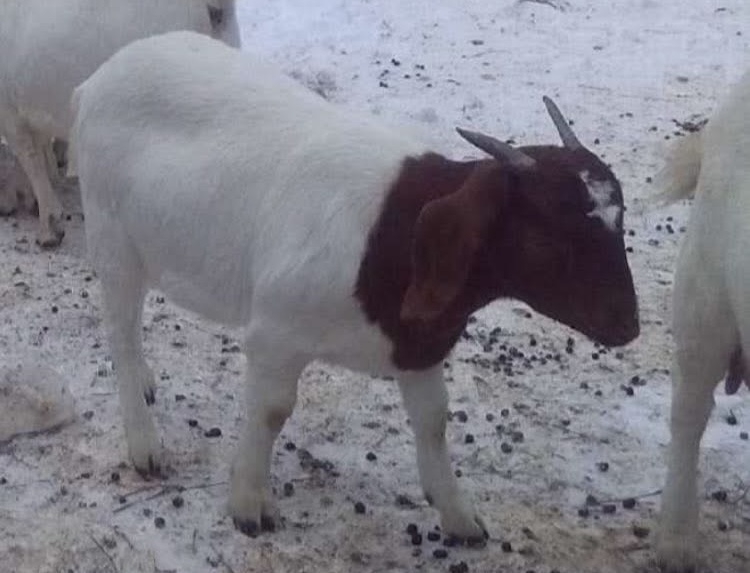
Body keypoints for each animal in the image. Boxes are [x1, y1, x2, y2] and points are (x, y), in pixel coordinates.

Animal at [72, 31, 639, 540]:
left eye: (620, 220)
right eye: (549, 232)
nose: (628, 325)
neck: (393, 235)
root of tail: (94, 81)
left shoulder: (417, 345)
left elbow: (434, 419)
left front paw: (459, 517)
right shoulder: (276, 334)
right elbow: (273, 411)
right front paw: (249, 505)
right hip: (111, 235)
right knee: (120, 332)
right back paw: (144, 445)